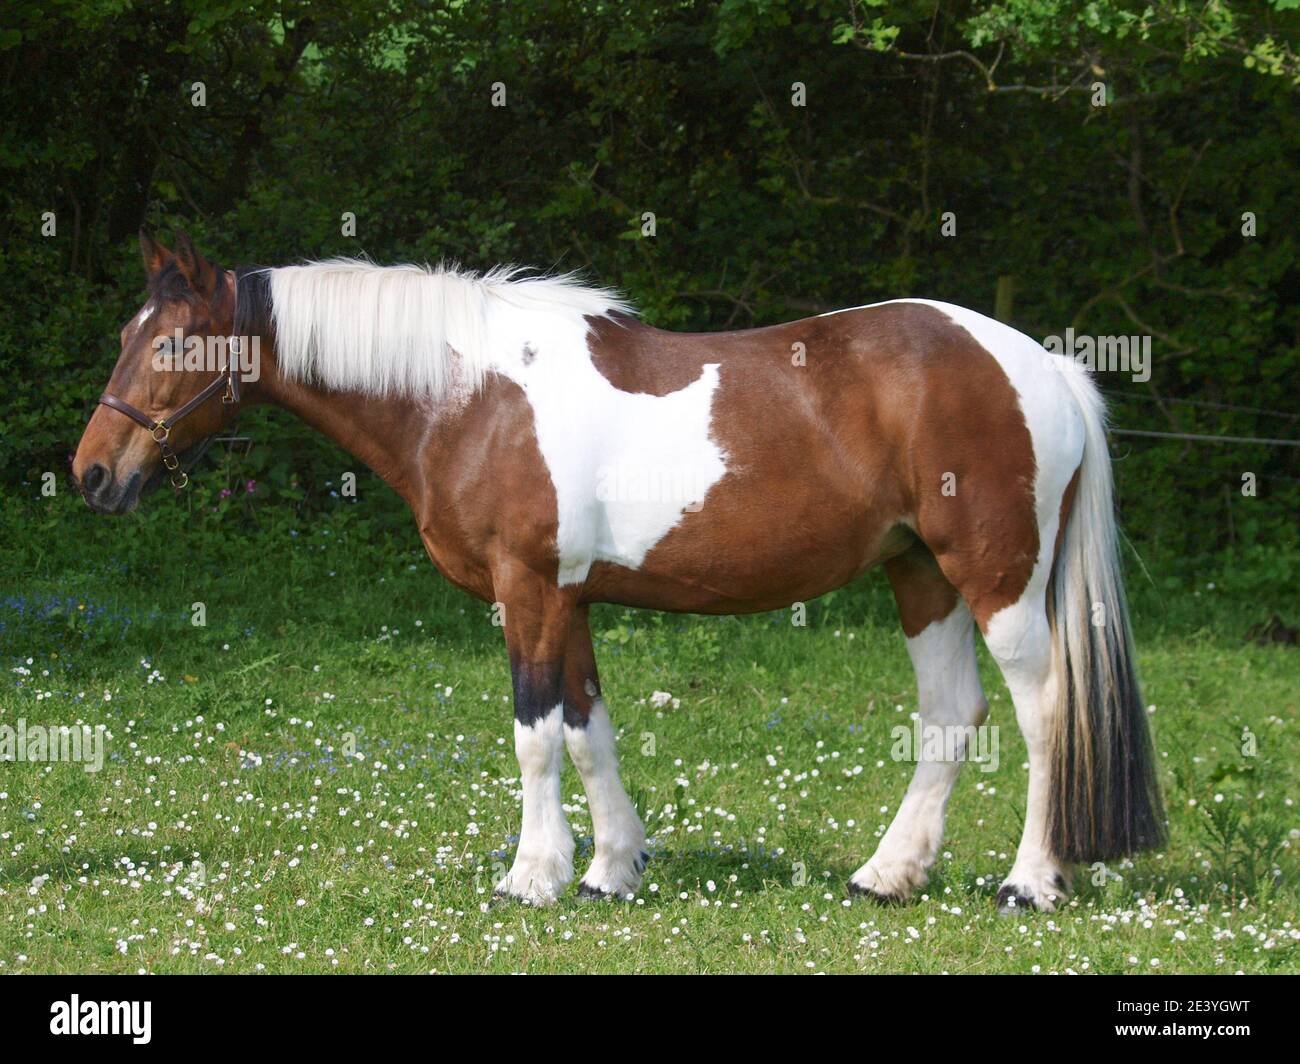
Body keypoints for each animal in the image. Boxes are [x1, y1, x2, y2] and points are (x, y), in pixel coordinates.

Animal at [72, 229, 1166, 910]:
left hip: (997, 582)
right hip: (919, 576)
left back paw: (1030, 881)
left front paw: (532, 876)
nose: (91, 474)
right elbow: (589, 728)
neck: (468, 394)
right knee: (948, 717)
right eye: (129, 334)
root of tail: (1043, 364)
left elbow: (534, 733)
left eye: (173, 343)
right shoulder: (574, 596)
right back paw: (885, 874)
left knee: (1045, 714)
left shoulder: (527, 590)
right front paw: (609, 869)